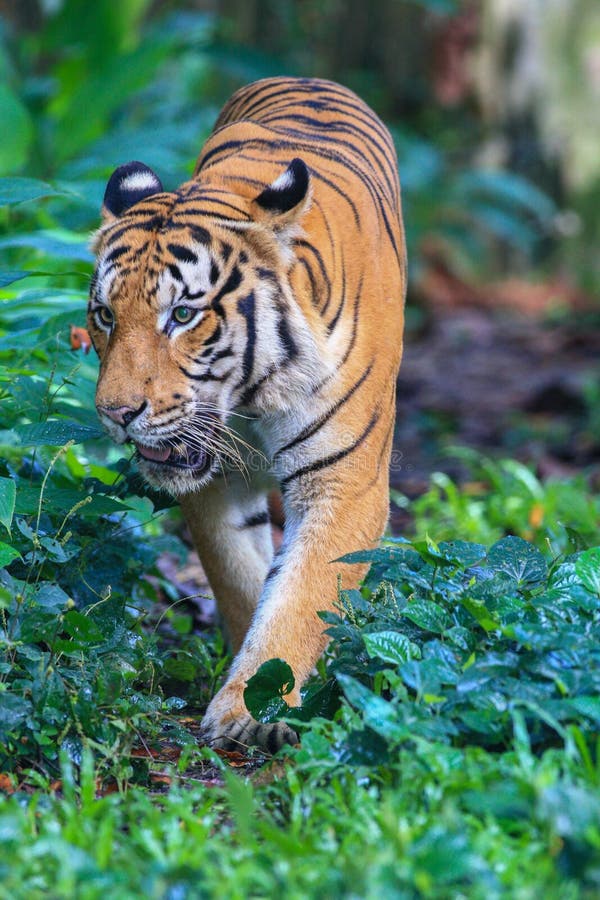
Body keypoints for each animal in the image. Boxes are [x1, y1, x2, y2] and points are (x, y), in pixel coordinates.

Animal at [88, 76, 406, 752]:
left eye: (182, 315)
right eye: (105, 314)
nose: (116, 412)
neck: (255, 394)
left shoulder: (343, 483)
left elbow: (302, 593)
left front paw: (251, 710)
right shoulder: (216, 481)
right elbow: (240, 576)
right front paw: (244, 686)